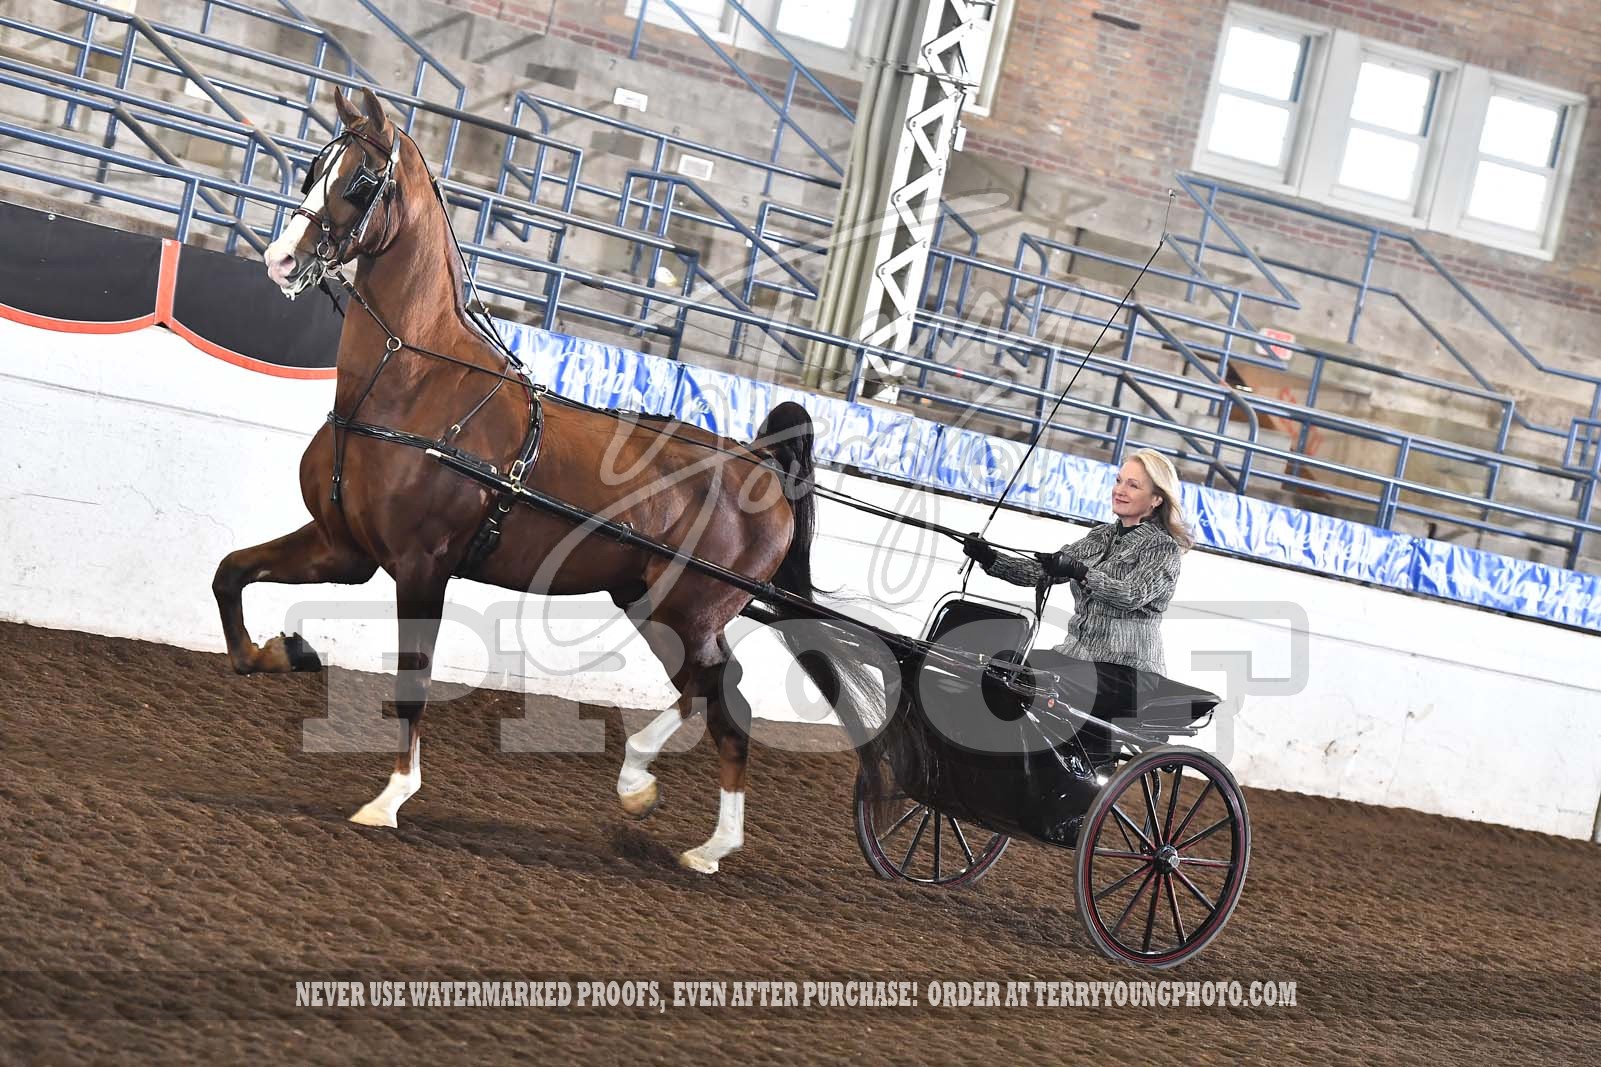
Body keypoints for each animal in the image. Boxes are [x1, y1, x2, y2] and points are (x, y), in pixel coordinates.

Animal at [214, 87, 884, 873]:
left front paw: (389, 799)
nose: (280, 259)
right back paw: (699, 838)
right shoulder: (343, 547)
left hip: (689, 609)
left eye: (360, 181)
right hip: (650, 602)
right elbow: (231, 574)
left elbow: (413, 680)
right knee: (720, 703)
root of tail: (759, 463)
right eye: (313, 170)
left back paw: (653, 791)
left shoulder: (421, 566)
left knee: (721, 695)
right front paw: (279, 651)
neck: (411, 383)